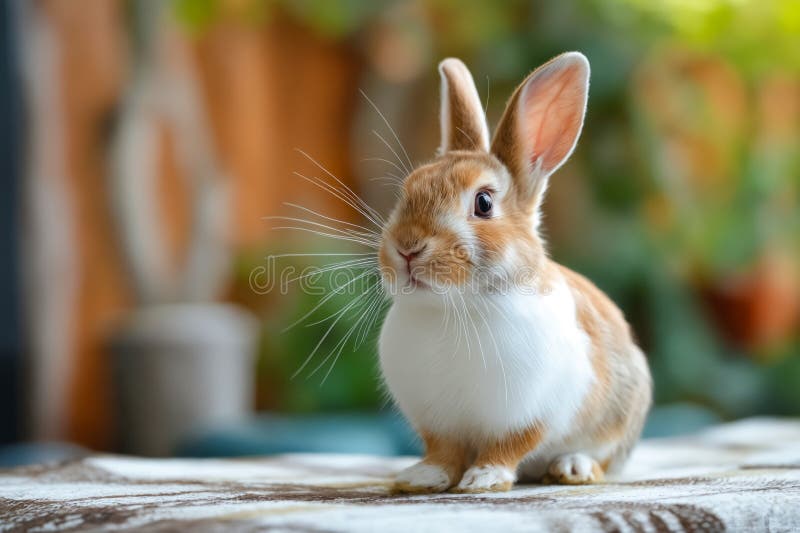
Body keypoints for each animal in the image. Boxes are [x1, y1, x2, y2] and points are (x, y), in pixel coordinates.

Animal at [377, 52, 652, 494]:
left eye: (484, 203)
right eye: (408, 190)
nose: (407, 247)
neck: (455, 306)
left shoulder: (530, 412)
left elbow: (508, 446)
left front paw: (484, 479)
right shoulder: (439, 423)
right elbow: (444, 452)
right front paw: (422, 477)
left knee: (603, 459)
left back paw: (572, 467)